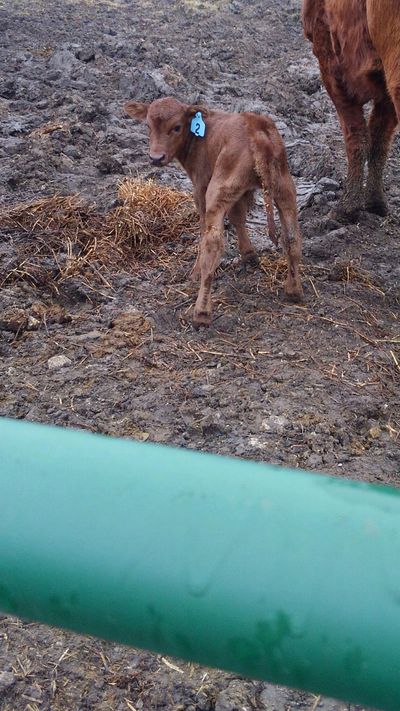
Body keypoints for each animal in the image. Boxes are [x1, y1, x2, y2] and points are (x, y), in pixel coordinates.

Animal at [124, 97, 303, 327]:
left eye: (177, 127)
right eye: (148, 126)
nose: (156, 157)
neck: (200, 136)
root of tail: (255, 128)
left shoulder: (201, 186)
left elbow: (205, 228)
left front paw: (195, 272)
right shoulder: (240, 192)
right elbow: (238, 216)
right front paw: (249, 255)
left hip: (218, 190)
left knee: (213, 242)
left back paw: (201, 311)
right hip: (284, 187)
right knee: (291, 236)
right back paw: (294, 291)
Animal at [302, 0, 400, 221]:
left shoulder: (330, 60)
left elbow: (356, 136)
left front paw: (346, 208)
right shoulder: (385, 88)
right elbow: (380, 138)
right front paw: (375, 204)